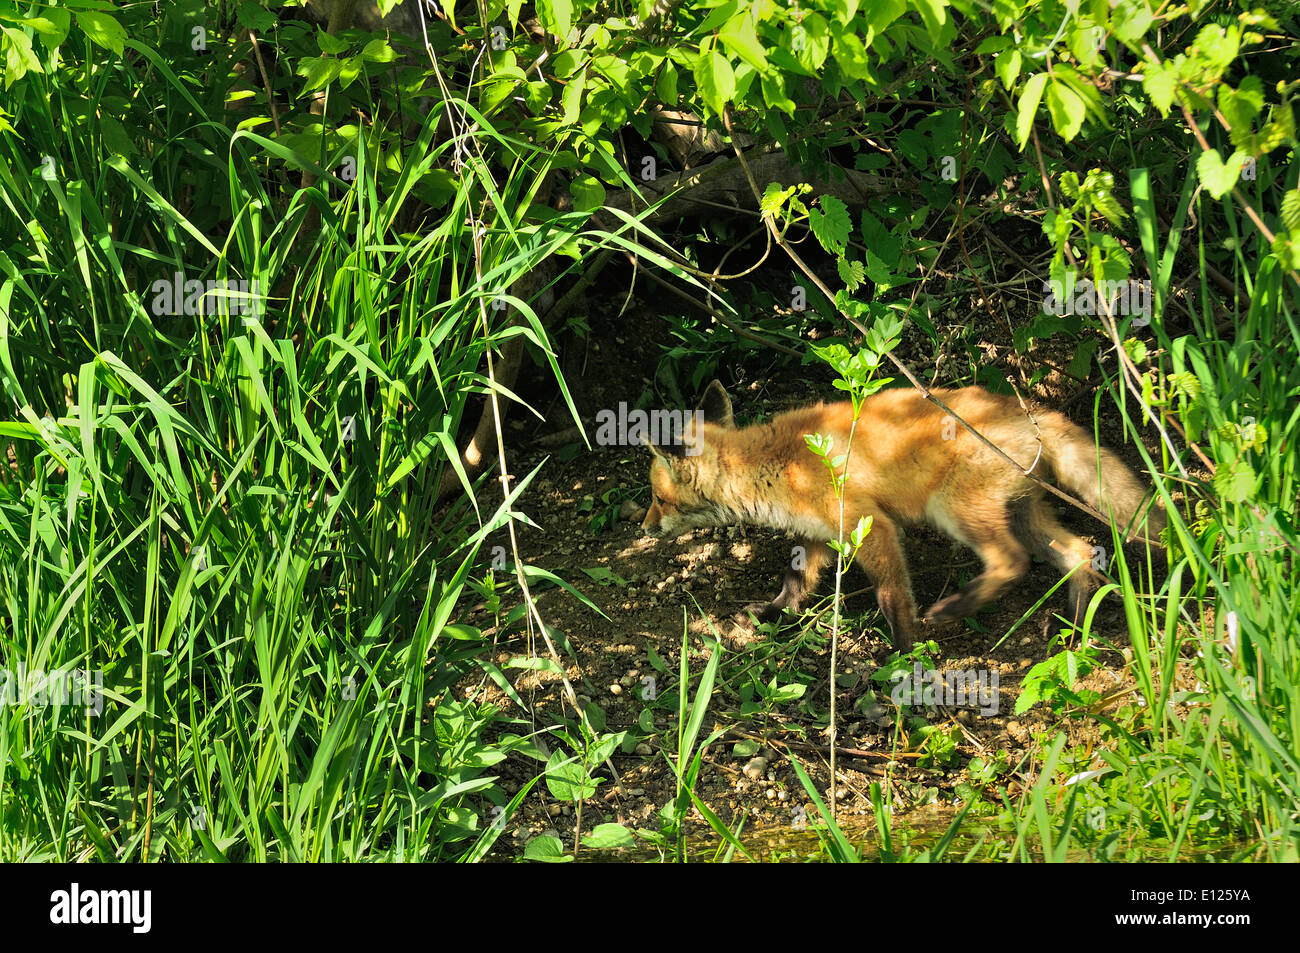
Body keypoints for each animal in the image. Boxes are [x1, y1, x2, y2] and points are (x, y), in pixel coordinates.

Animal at [641, 380, 1166, 652]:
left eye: (659, 499)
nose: (643, 528)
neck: (777, 464)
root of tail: (1031, 412)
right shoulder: (816, 534)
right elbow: (795, 582)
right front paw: (773, 614)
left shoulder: (869, 525)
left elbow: (892, 594)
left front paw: (902, 651)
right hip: (1025, 514)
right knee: (1079, 553)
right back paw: (1074, 627)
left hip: (957, 511)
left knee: (1012, 562)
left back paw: (955, 608)